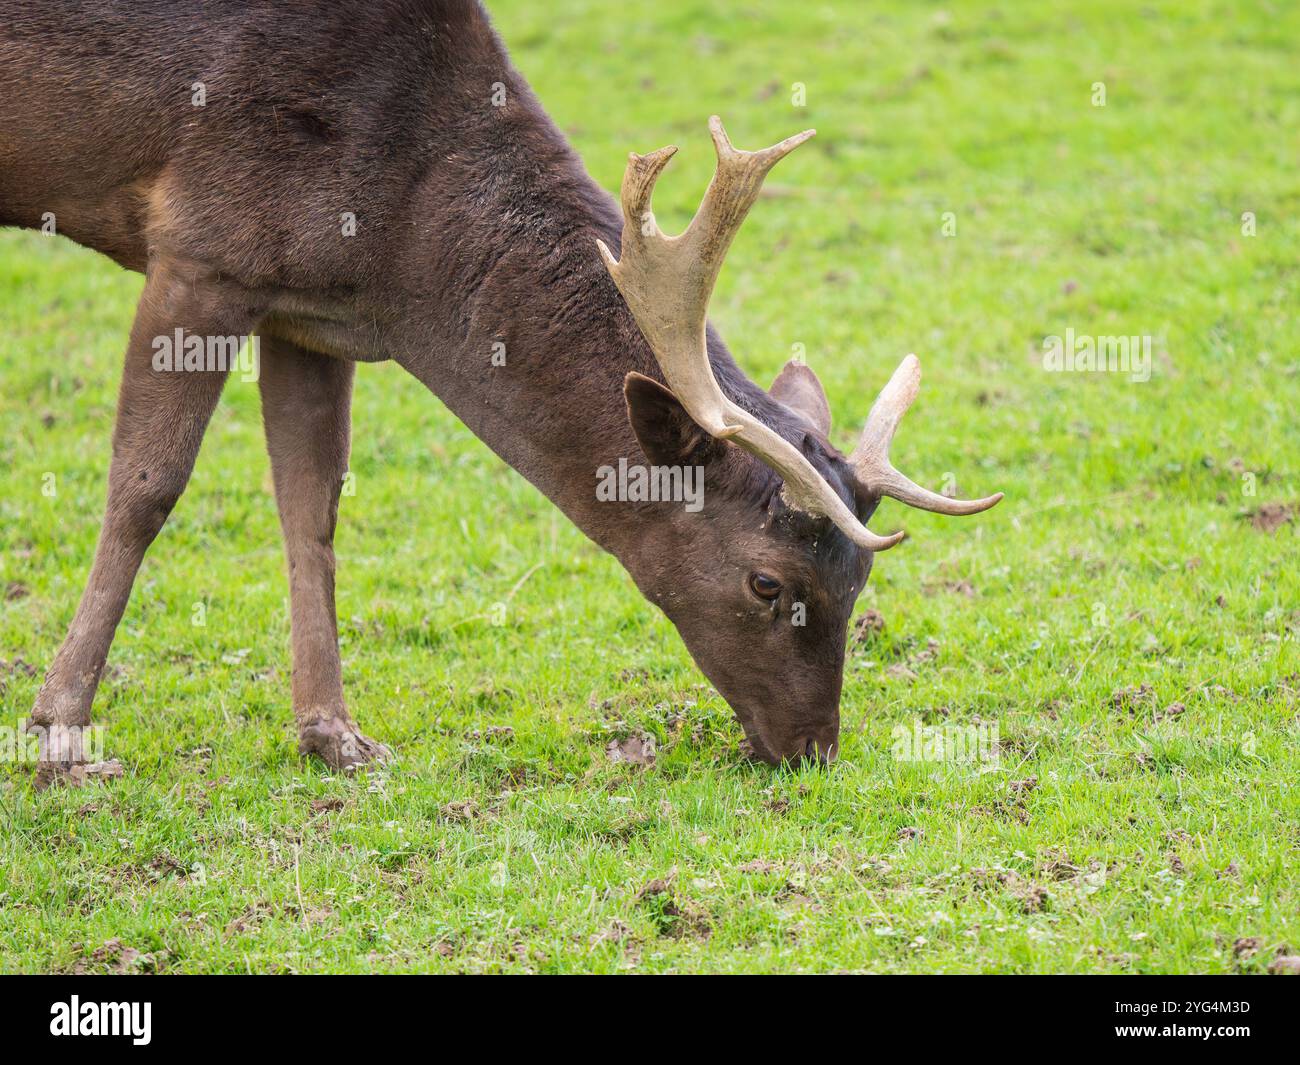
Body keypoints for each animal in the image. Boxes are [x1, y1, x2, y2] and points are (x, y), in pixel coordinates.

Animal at [0, 0, 1001, 788]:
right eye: (767, 579)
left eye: (860, 578)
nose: (813, 748)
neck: (398, 245)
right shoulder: (201, 248)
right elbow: (145, 489)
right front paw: (59, 735)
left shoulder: (308, 313)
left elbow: (311, 510)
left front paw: (335, 736)